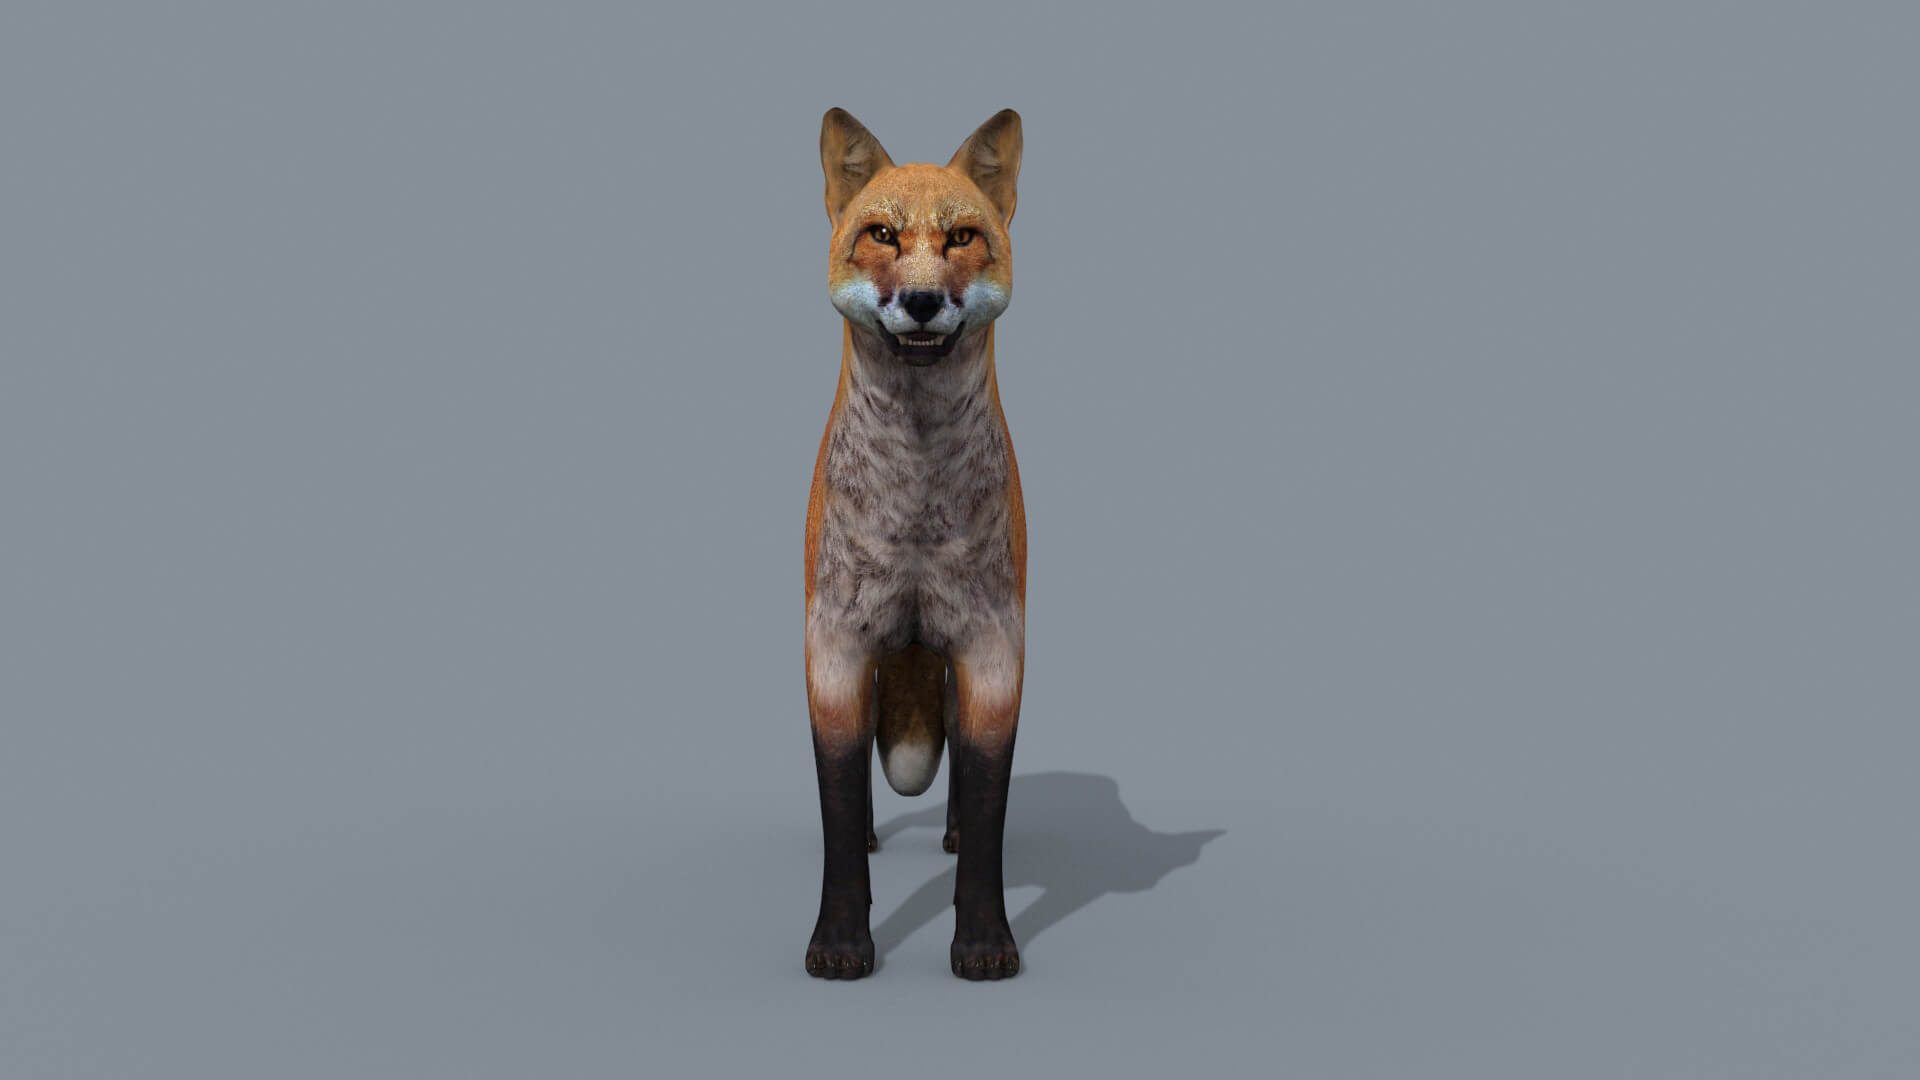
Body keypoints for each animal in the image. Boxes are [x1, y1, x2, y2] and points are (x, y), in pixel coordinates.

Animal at [802, 107, 1028, 981]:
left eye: (962, 236)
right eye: (882, 236)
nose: (925, 301)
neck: (915, 524)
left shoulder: (994, 652)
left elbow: (990, 808)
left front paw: (986, 943)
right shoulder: (833, 650)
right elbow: (837, 809)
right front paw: (839, 943)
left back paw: (953, 830)